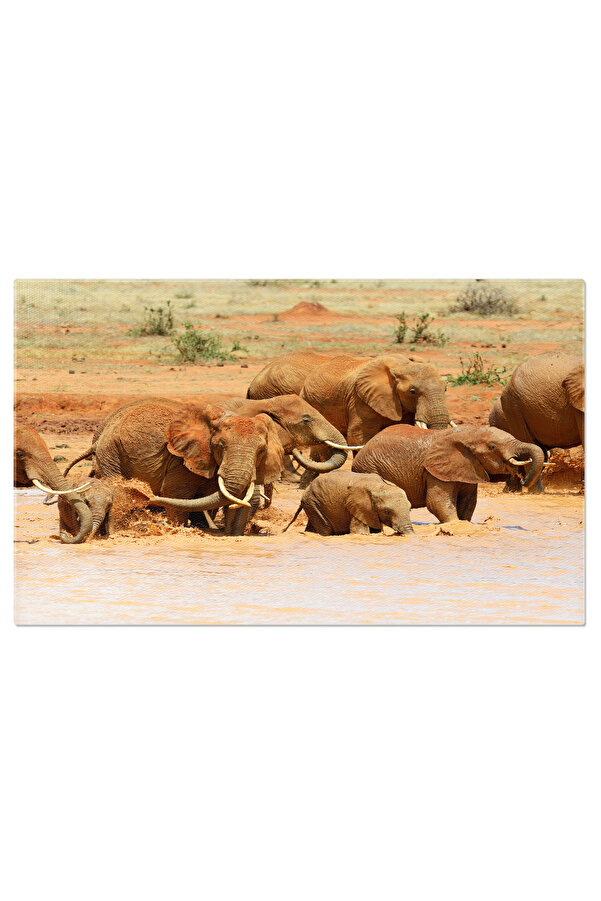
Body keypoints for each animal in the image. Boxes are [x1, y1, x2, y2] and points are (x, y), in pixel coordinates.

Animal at [284, 470, 414, 536]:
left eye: (410, 509)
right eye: (387, 511)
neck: (379, 486)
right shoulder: (359, 506)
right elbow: (359, 532)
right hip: (312, 502)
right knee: (326, 529)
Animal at [352, 424, 544, 523]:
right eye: (492, 447)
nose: (523, 480)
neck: (468, 433)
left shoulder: (468, 468)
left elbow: (468, 502)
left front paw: (466, 524)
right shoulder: (434, 471)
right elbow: (437, 502)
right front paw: (455, 525)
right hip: (369, 468)